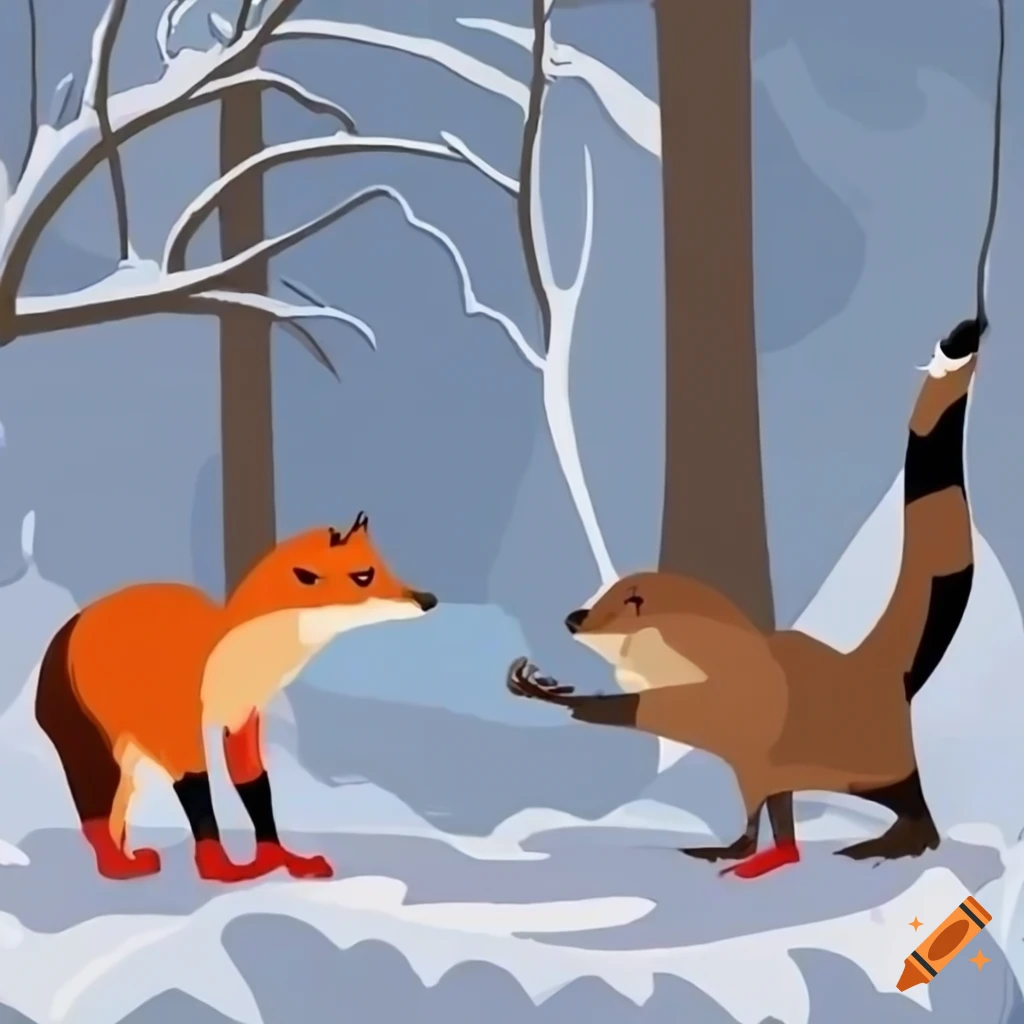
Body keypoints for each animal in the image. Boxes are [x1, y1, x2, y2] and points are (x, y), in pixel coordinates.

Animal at [35, 512, 437, 883]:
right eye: (364, 576)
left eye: (382, 566)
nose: (428, 599)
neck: (230, 651)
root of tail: (66, 631)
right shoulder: (175, 726)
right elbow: (199, 791)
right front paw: (219, 868)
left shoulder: (241, 717)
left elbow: (254, 786)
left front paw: (279, 859)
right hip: (94, 742)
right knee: (95, 811)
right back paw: (118, 867)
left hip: (127, 754)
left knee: (115, 811)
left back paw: (126, 857)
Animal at [507, 316, 985, 880]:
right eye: (603, 594)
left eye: (629, 600)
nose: (574, 616)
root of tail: (882, 666)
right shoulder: (746, 754)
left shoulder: (719, 703)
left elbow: (641, 711)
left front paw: (542, 688)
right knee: (775, 816)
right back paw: (738, 851)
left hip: (876, 762)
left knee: (907, 804)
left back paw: (889, 842)